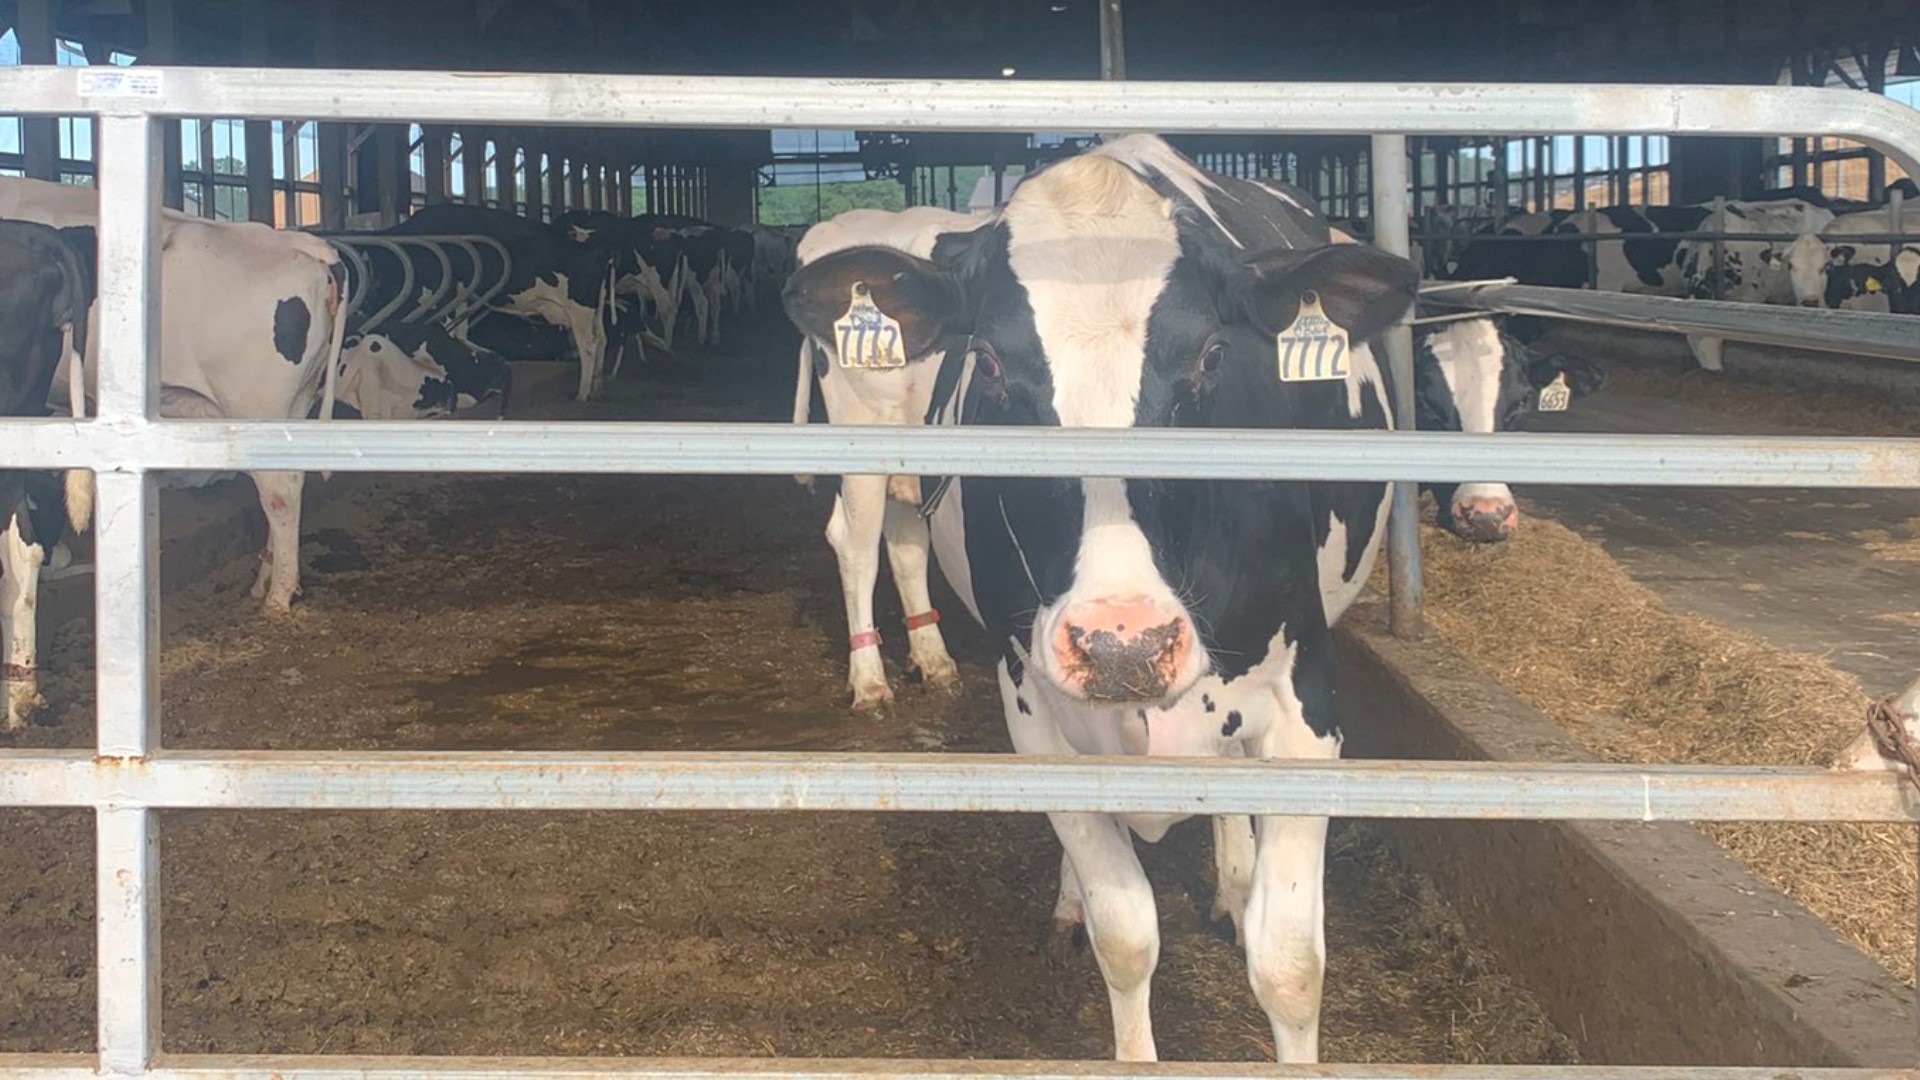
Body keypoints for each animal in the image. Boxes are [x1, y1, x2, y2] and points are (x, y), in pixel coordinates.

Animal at [5, 178, 348, 616]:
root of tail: (300, 243)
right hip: (297, 401)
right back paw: (264, 580)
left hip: (255, 405)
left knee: (280, 491)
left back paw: (278, 595)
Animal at [787, 134, 1423, 1064]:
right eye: (988, 363)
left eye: (1212, 356)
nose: (1123, 642)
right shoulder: (1038, 721)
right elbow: (1125, 938)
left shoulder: (1308, 714)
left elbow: (1290, 966)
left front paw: (1249, 904)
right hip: (866, 450)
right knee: (863, 533)